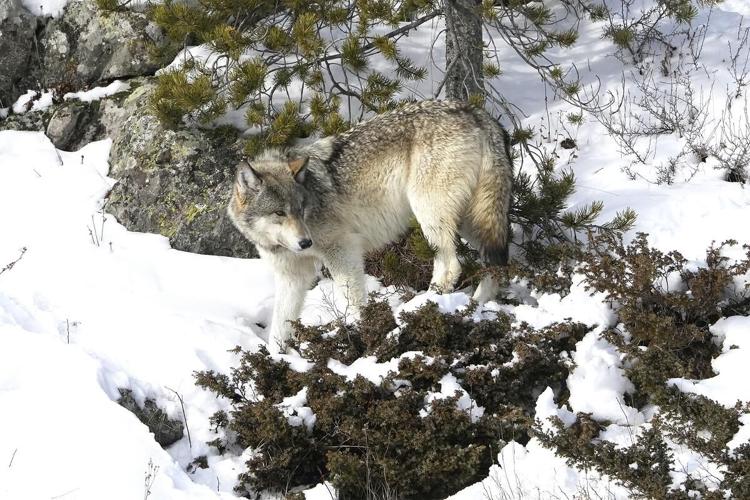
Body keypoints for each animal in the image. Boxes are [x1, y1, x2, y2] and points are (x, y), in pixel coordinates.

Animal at [228, 100, 513, 352]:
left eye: (300, 209)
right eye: (280, 213)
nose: (305, 242)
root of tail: (475, 111)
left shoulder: (343, 251)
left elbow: (354, 302)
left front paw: (362, 332)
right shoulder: (293, 276)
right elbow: (279, 329)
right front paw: (277, 358)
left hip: (430, 213)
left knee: (451, 267)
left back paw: (424, 306)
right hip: (469, 221)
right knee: (497, 263)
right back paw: (475, 306)